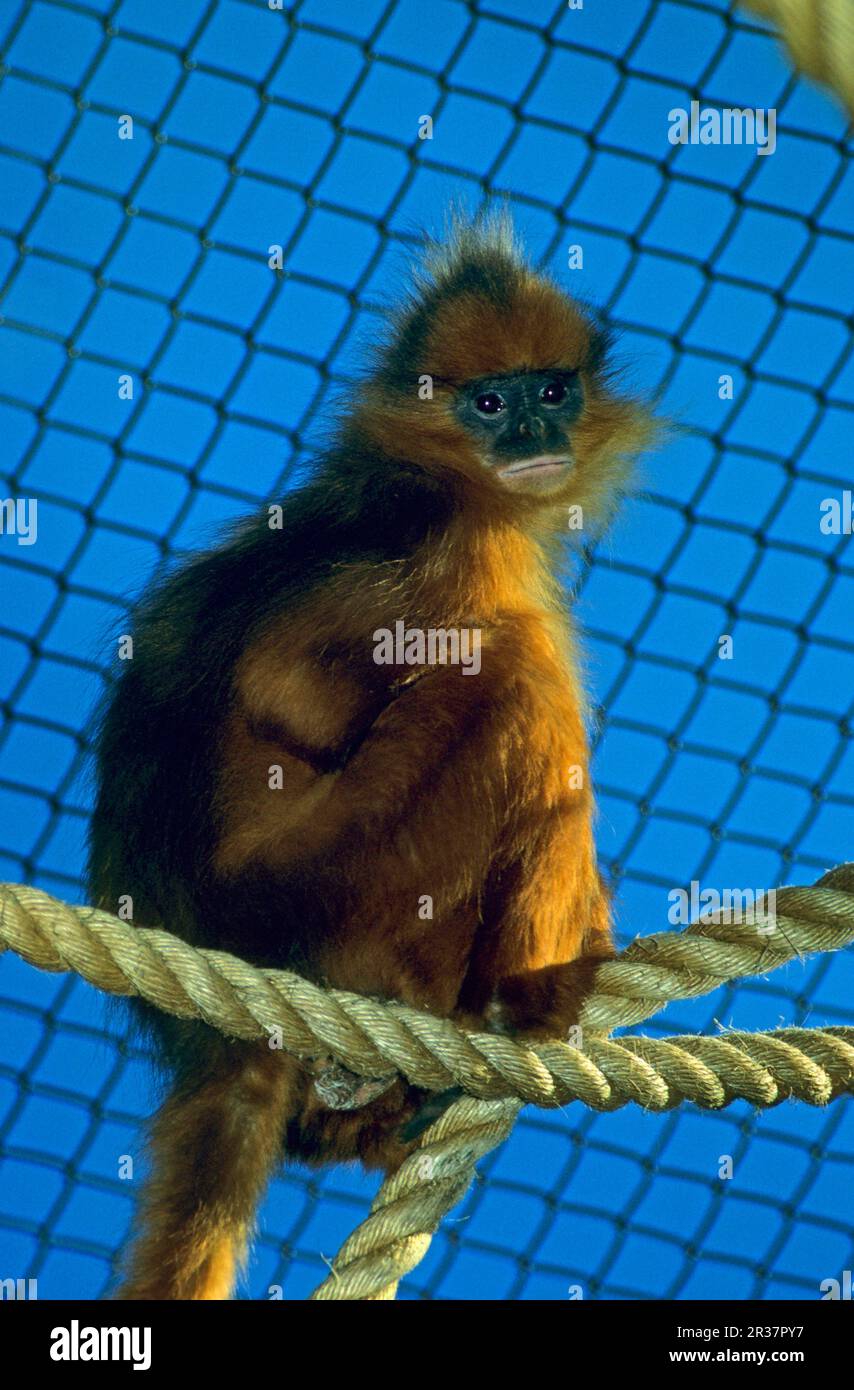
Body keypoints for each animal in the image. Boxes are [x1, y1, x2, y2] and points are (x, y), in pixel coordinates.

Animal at [87, 213, 655, 1300]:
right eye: (487, 404)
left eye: (550, 391)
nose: (532, 438)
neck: (443, 481)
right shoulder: (441, 554)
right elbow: (288, 686)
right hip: (342, 876)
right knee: (519, 672)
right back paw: (522, 1003)